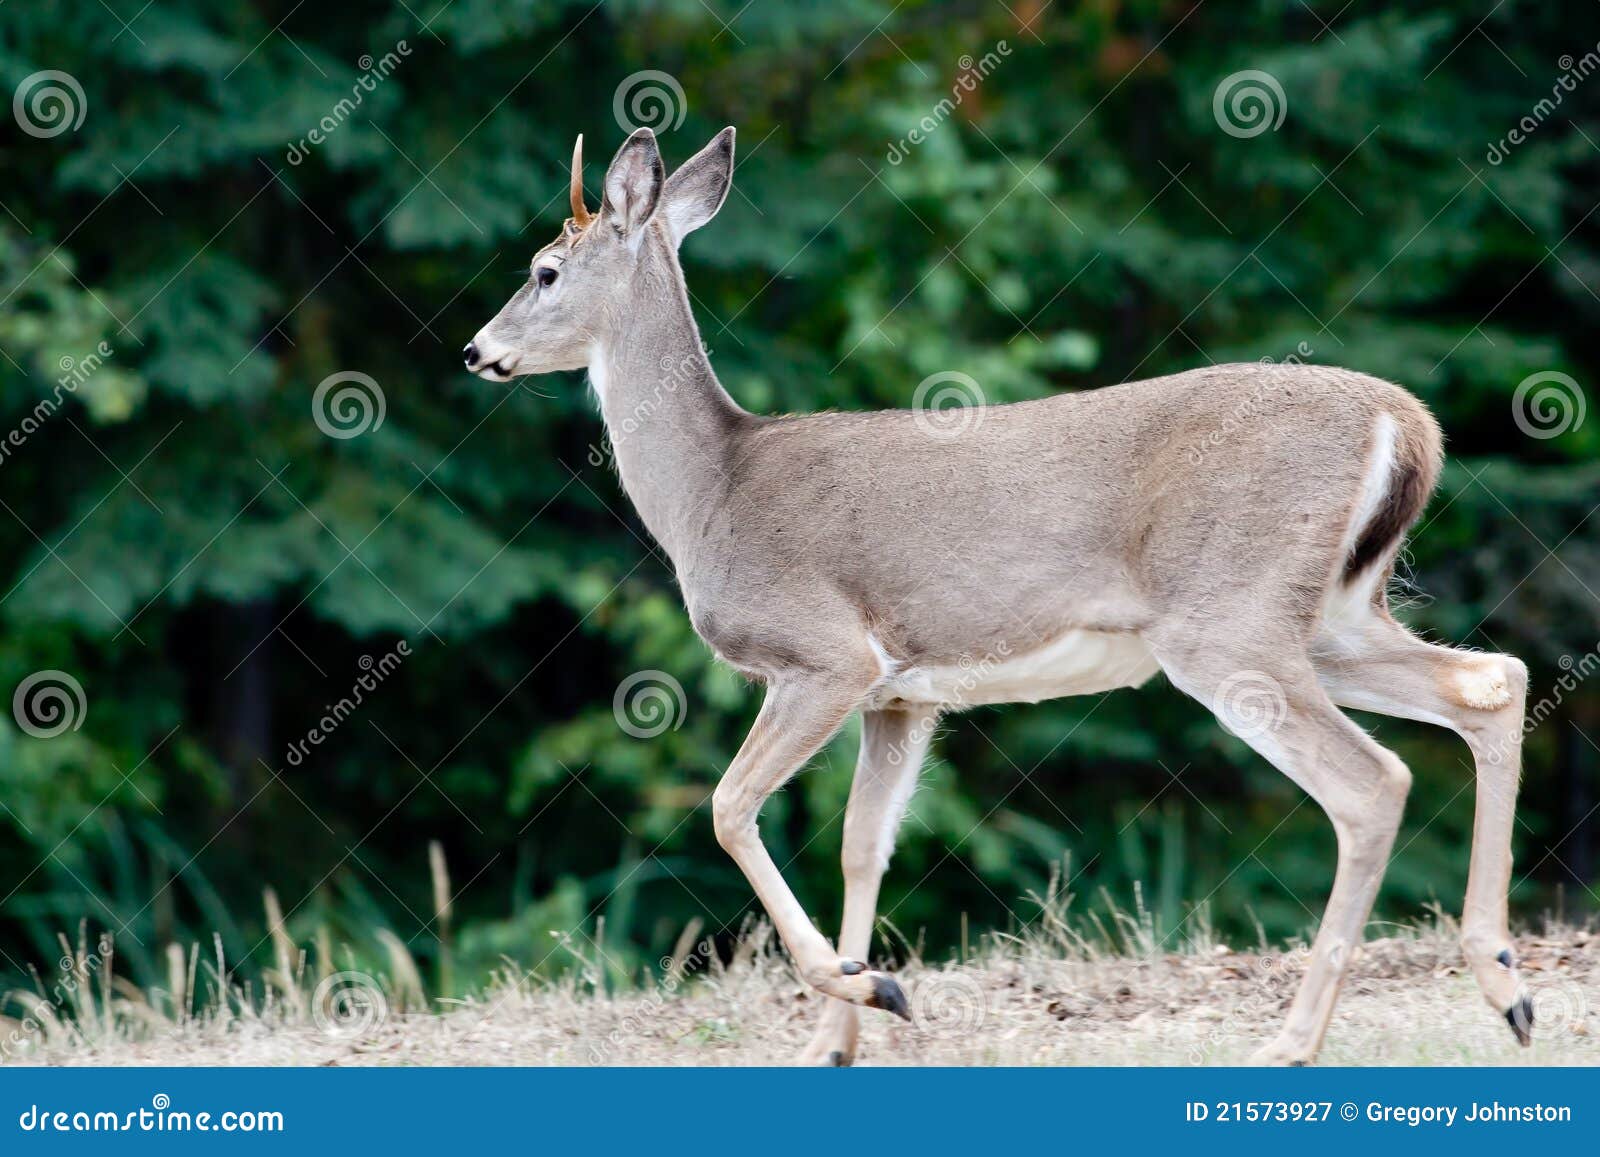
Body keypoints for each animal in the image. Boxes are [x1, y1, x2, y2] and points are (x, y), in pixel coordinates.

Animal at [464, 126, 1533, 1066]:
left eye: (545, 270)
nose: (477, 350)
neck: (713, 493)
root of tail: (1407, 423)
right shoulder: (902, 694)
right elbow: (862, 845)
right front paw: (838, 1036)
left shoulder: (823, 655)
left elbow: (729, 806)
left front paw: (866, 987)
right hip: (1331, 616)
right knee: (1491, 679)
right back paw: (1505, 983)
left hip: (1228, 620)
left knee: (1374, 780)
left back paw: (1295, 1039)